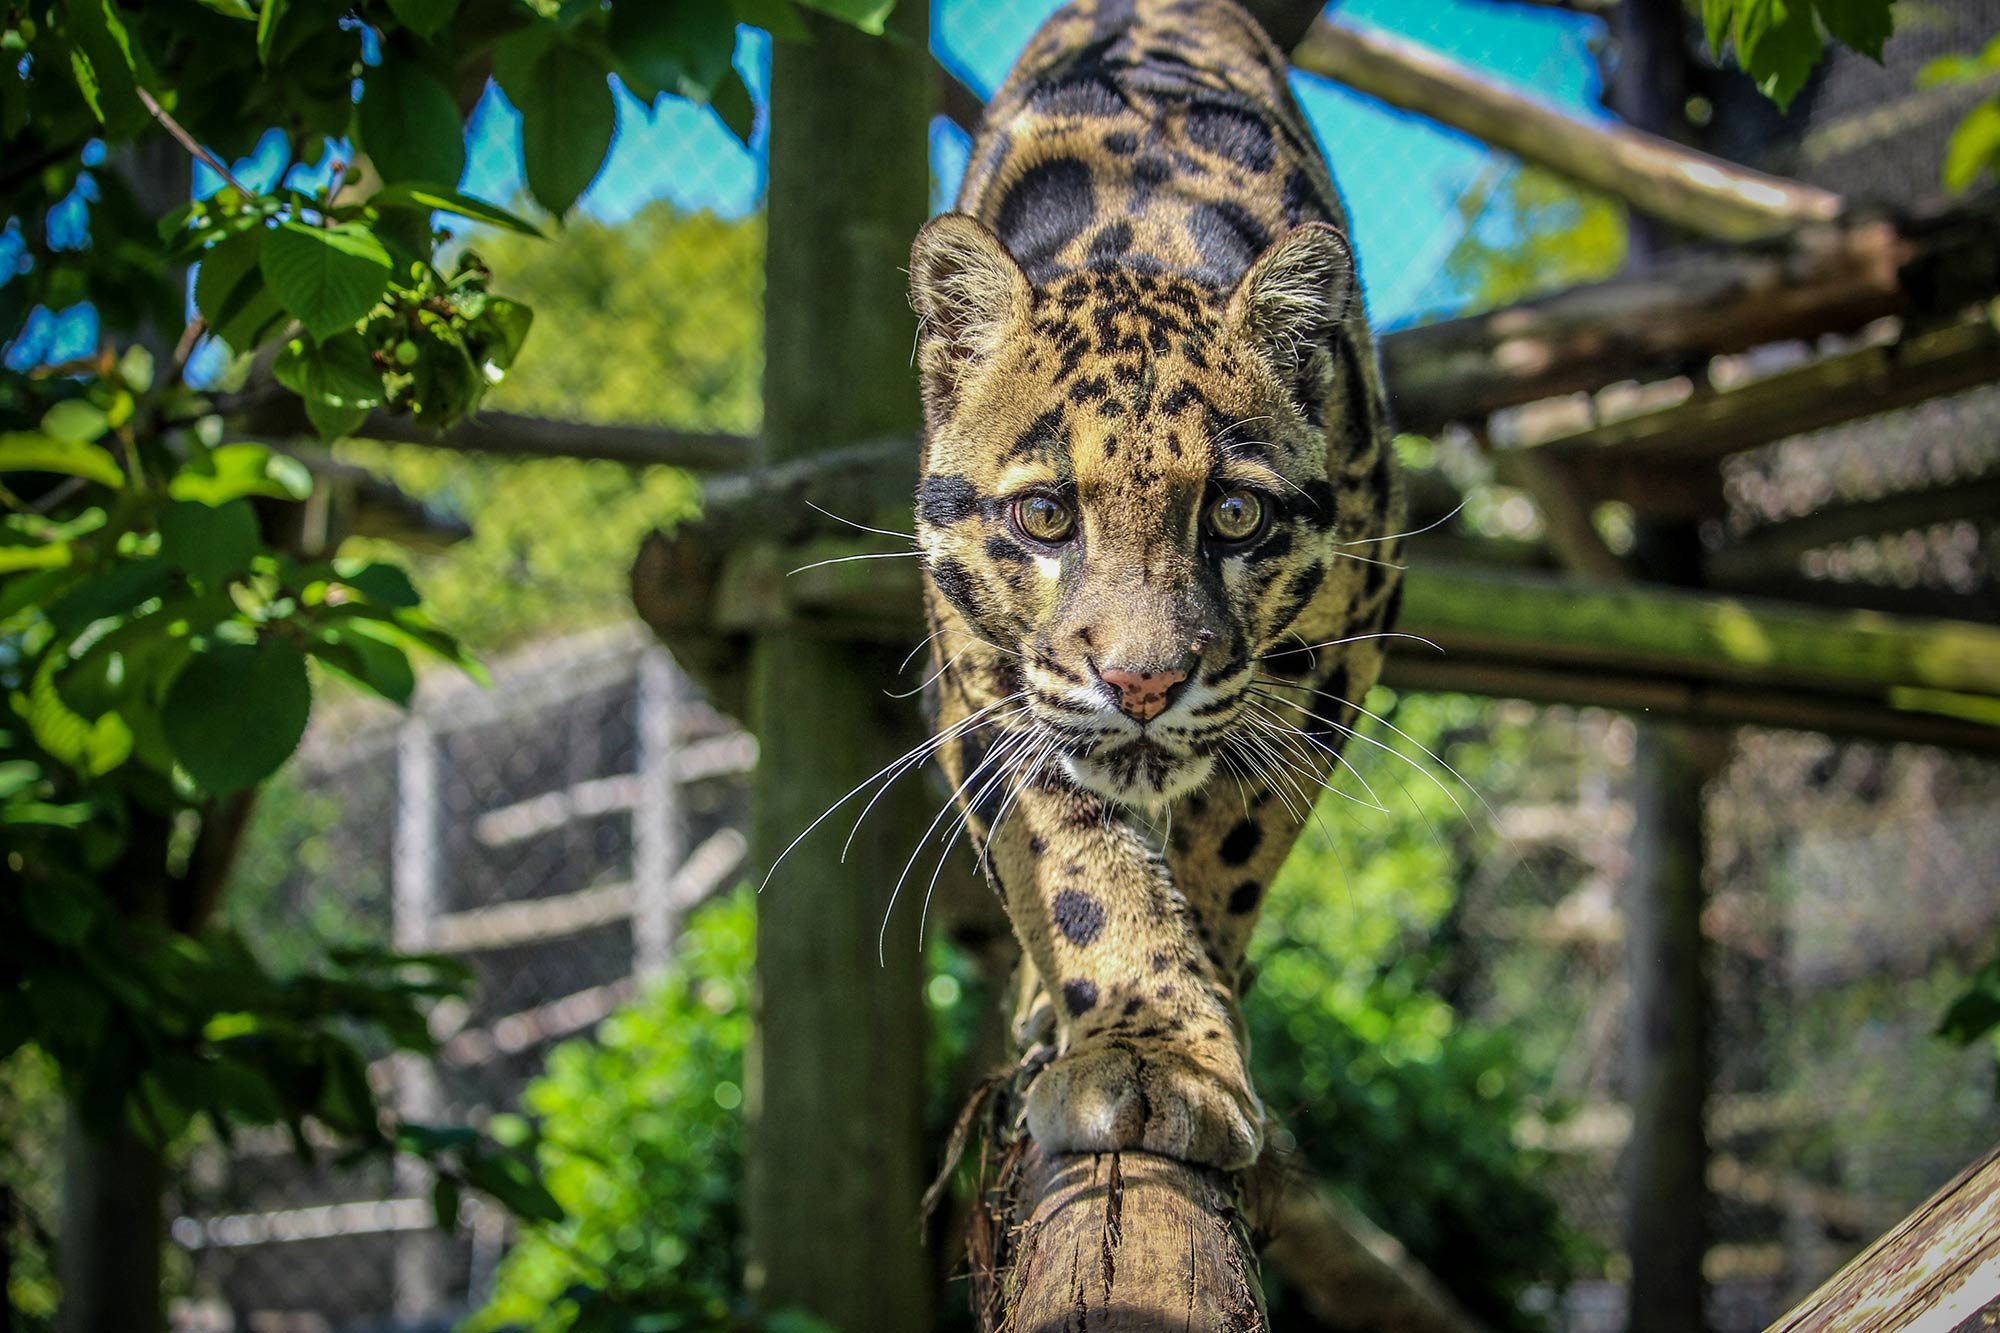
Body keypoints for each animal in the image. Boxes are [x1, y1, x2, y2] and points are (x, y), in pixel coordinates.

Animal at [908, 0, 1404, 1171]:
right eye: (1045, 516)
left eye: (1233, 515)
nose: (1143, 684)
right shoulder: (984, 671)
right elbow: (1073, 862)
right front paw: (1148, 1048)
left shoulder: (1349, 630)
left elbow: (1238, 834)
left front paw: (1200, 1006)